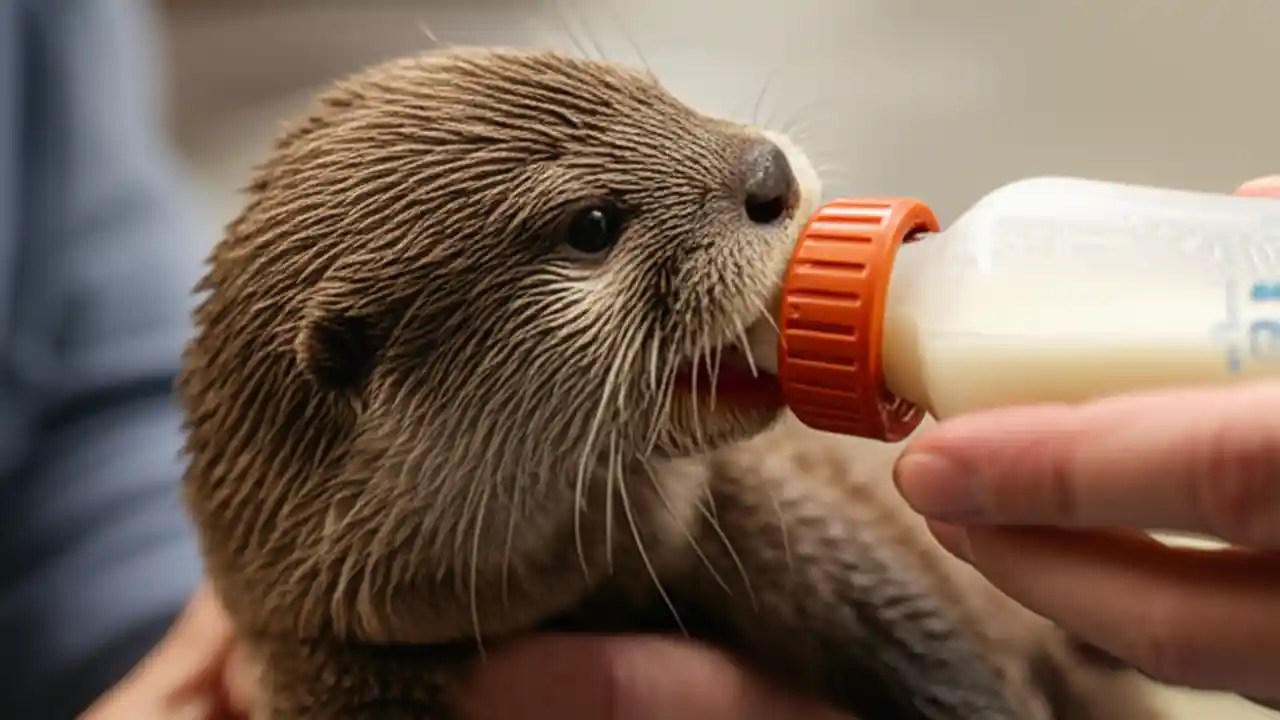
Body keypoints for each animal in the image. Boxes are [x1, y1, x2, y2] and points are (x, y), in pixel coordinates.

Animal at [178, 47, 1163, 719]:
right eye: (592, 225)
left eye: (661, 96)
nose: (766, 172)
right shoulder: (329, 663)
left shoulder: (740, 505)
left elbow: (912, 613)